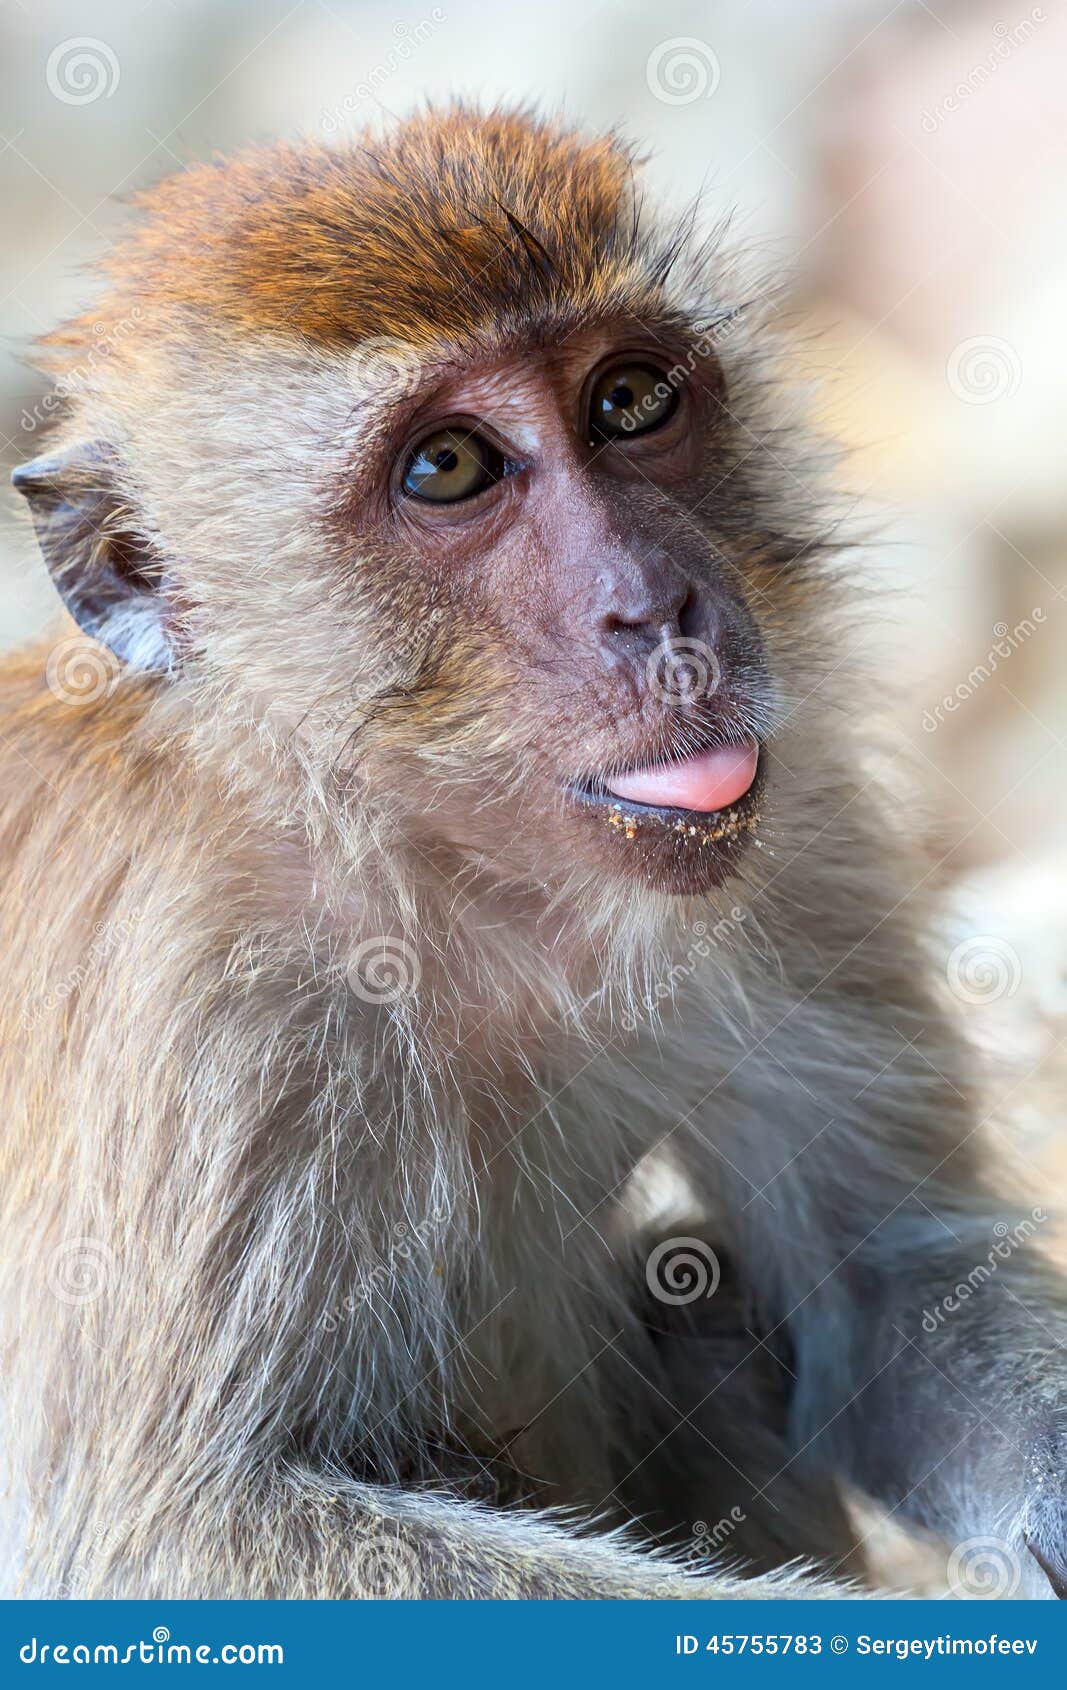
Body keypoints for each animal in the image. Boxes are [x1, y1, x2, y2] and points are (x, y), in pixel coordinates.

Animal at [0, 104, 1064, 1601]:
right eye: (446, 466)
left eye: (627, 401)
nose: (656, 603)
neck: (433, 859)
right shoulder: (194, 1000)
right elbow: (170, 1531)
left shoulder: (798, 840)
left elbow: (890, 1281)